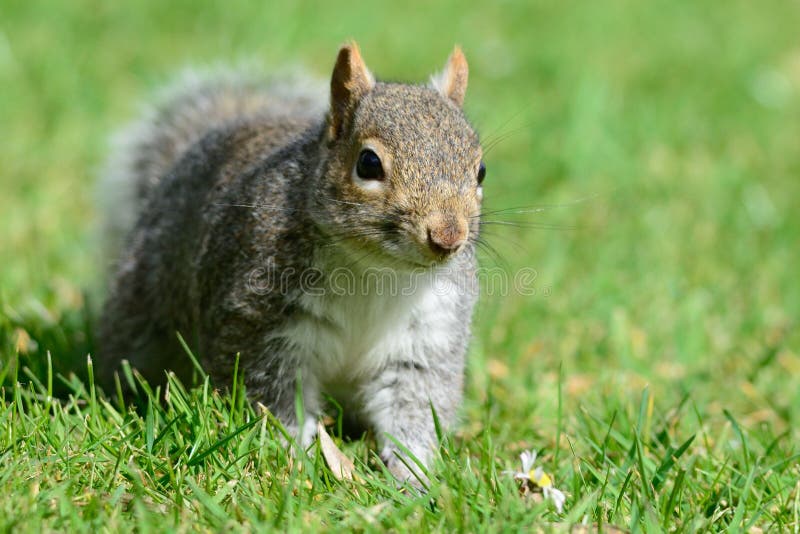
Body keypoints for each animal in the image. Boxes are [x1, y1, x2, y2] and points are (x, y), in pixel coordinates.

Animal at [97, 42, 485, 484]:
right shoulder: (260, 324)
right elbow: (274, 398)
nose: (447, 236)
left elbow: (417, 403)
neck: (377, 270)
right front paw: (303, 456)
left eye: (480, 170)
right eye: (368, 163)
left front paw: (413, 474)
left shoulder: (427, 335)